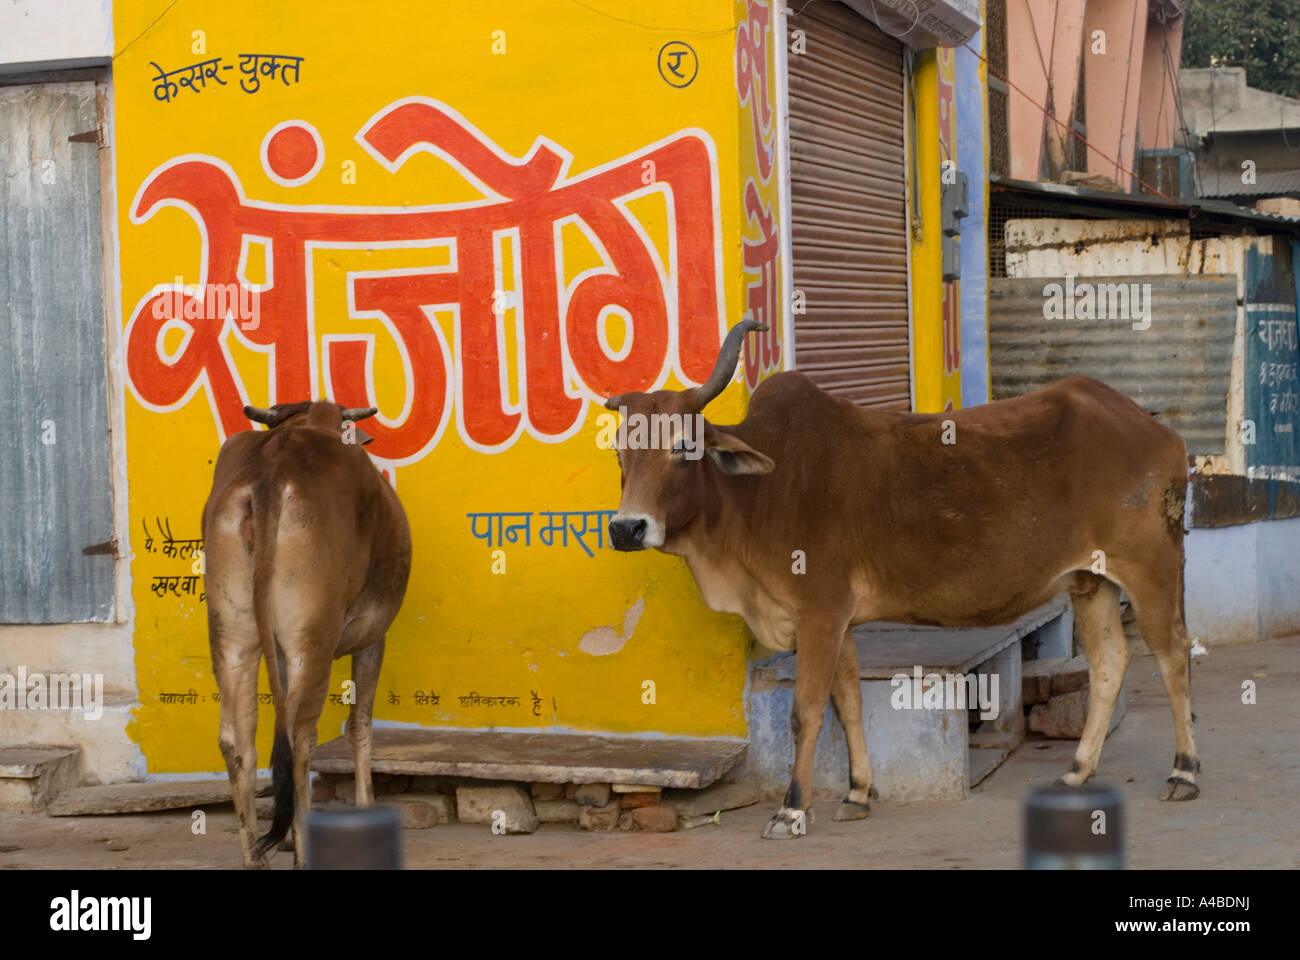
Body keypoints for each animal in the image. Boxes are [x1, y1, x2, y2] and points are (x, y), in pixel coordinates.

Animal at [202, 400, 412, 867]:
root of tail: (271, 466)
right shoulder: (374, 635)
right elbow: (360, 725)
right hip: (312, 636)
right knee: (300, 739)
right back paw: (303, 854)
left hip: (232, 630)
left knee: (237, 741)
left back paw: (256, 857)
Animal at [604, 319, 1198, 839]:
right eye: (619, 451)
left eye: (684, 446)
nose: (627, 528)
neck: (756, 495)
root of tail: (1152, 426)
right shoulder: (838, 619)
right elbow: (846, 703)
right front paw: (856, 793)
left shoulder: (819, 612)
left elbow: (805, 712)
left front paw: (792, 810)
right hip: (1090, 581)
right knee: (1110, 663)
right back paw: (1077, 770)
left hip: (1150, 568)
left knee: (1172, 654)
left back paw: (1184, 771)